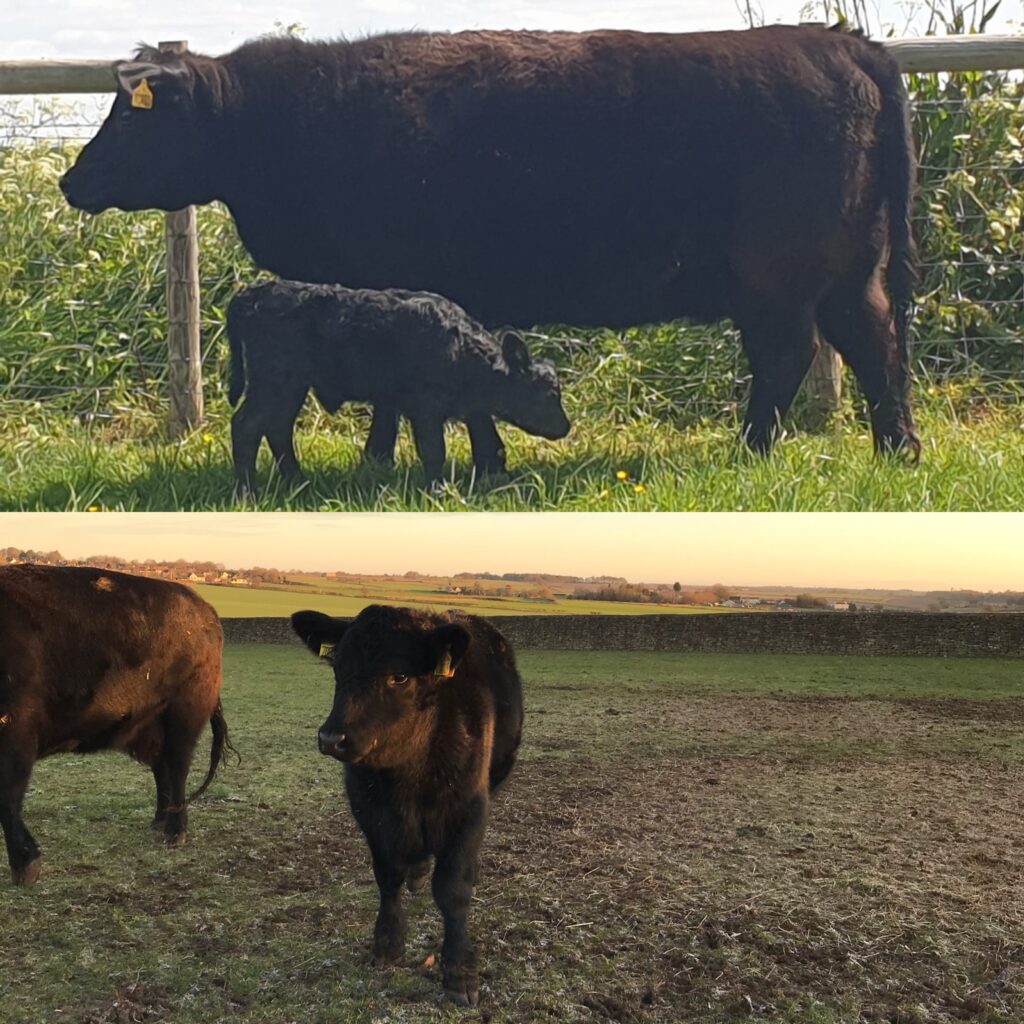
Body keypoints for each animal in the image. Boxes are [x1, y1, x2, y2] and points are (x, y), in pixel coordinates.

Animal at [0, 564, 231, 886]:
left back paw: (175, 830)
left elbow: (7, 797)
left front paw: (25, 864)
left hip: (183, 716)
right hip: (153, 725)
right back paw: (159, 821)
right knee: (163, 769)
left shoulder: (15, 733)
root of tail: (205, 611)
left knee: (178, 767)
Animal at [59, 26, 919, 459]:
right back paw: (896, 448)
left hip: (778, 279)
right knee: (873, 343)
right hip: (851, 270)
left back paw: (753, 448)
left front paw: (383, 462)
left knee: (789, 358)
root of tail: (833, 40)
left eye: (134, 114)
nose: (73, 178)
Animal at [227, 280, 570, 492]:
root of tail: (252, 294)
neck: (461, 348)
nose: (565, 427)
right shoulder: (425, 408)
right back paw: (248, 492)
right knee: (247, 425)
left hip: (289, 387)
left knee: (277, 428)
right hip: (273, 382)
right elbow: (434, 450)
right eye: (549, 393)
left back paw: (297, 481)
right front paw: (437, 490)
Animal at [291, 604, 524, 1007]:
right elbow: (388, 875)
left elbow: (453, 888)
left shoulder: (468, 808)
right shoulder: (368, 809)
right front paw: (387, 943)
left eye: (399, 676)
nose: (332, 737)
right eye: (337, 667)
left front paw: (459, 971)